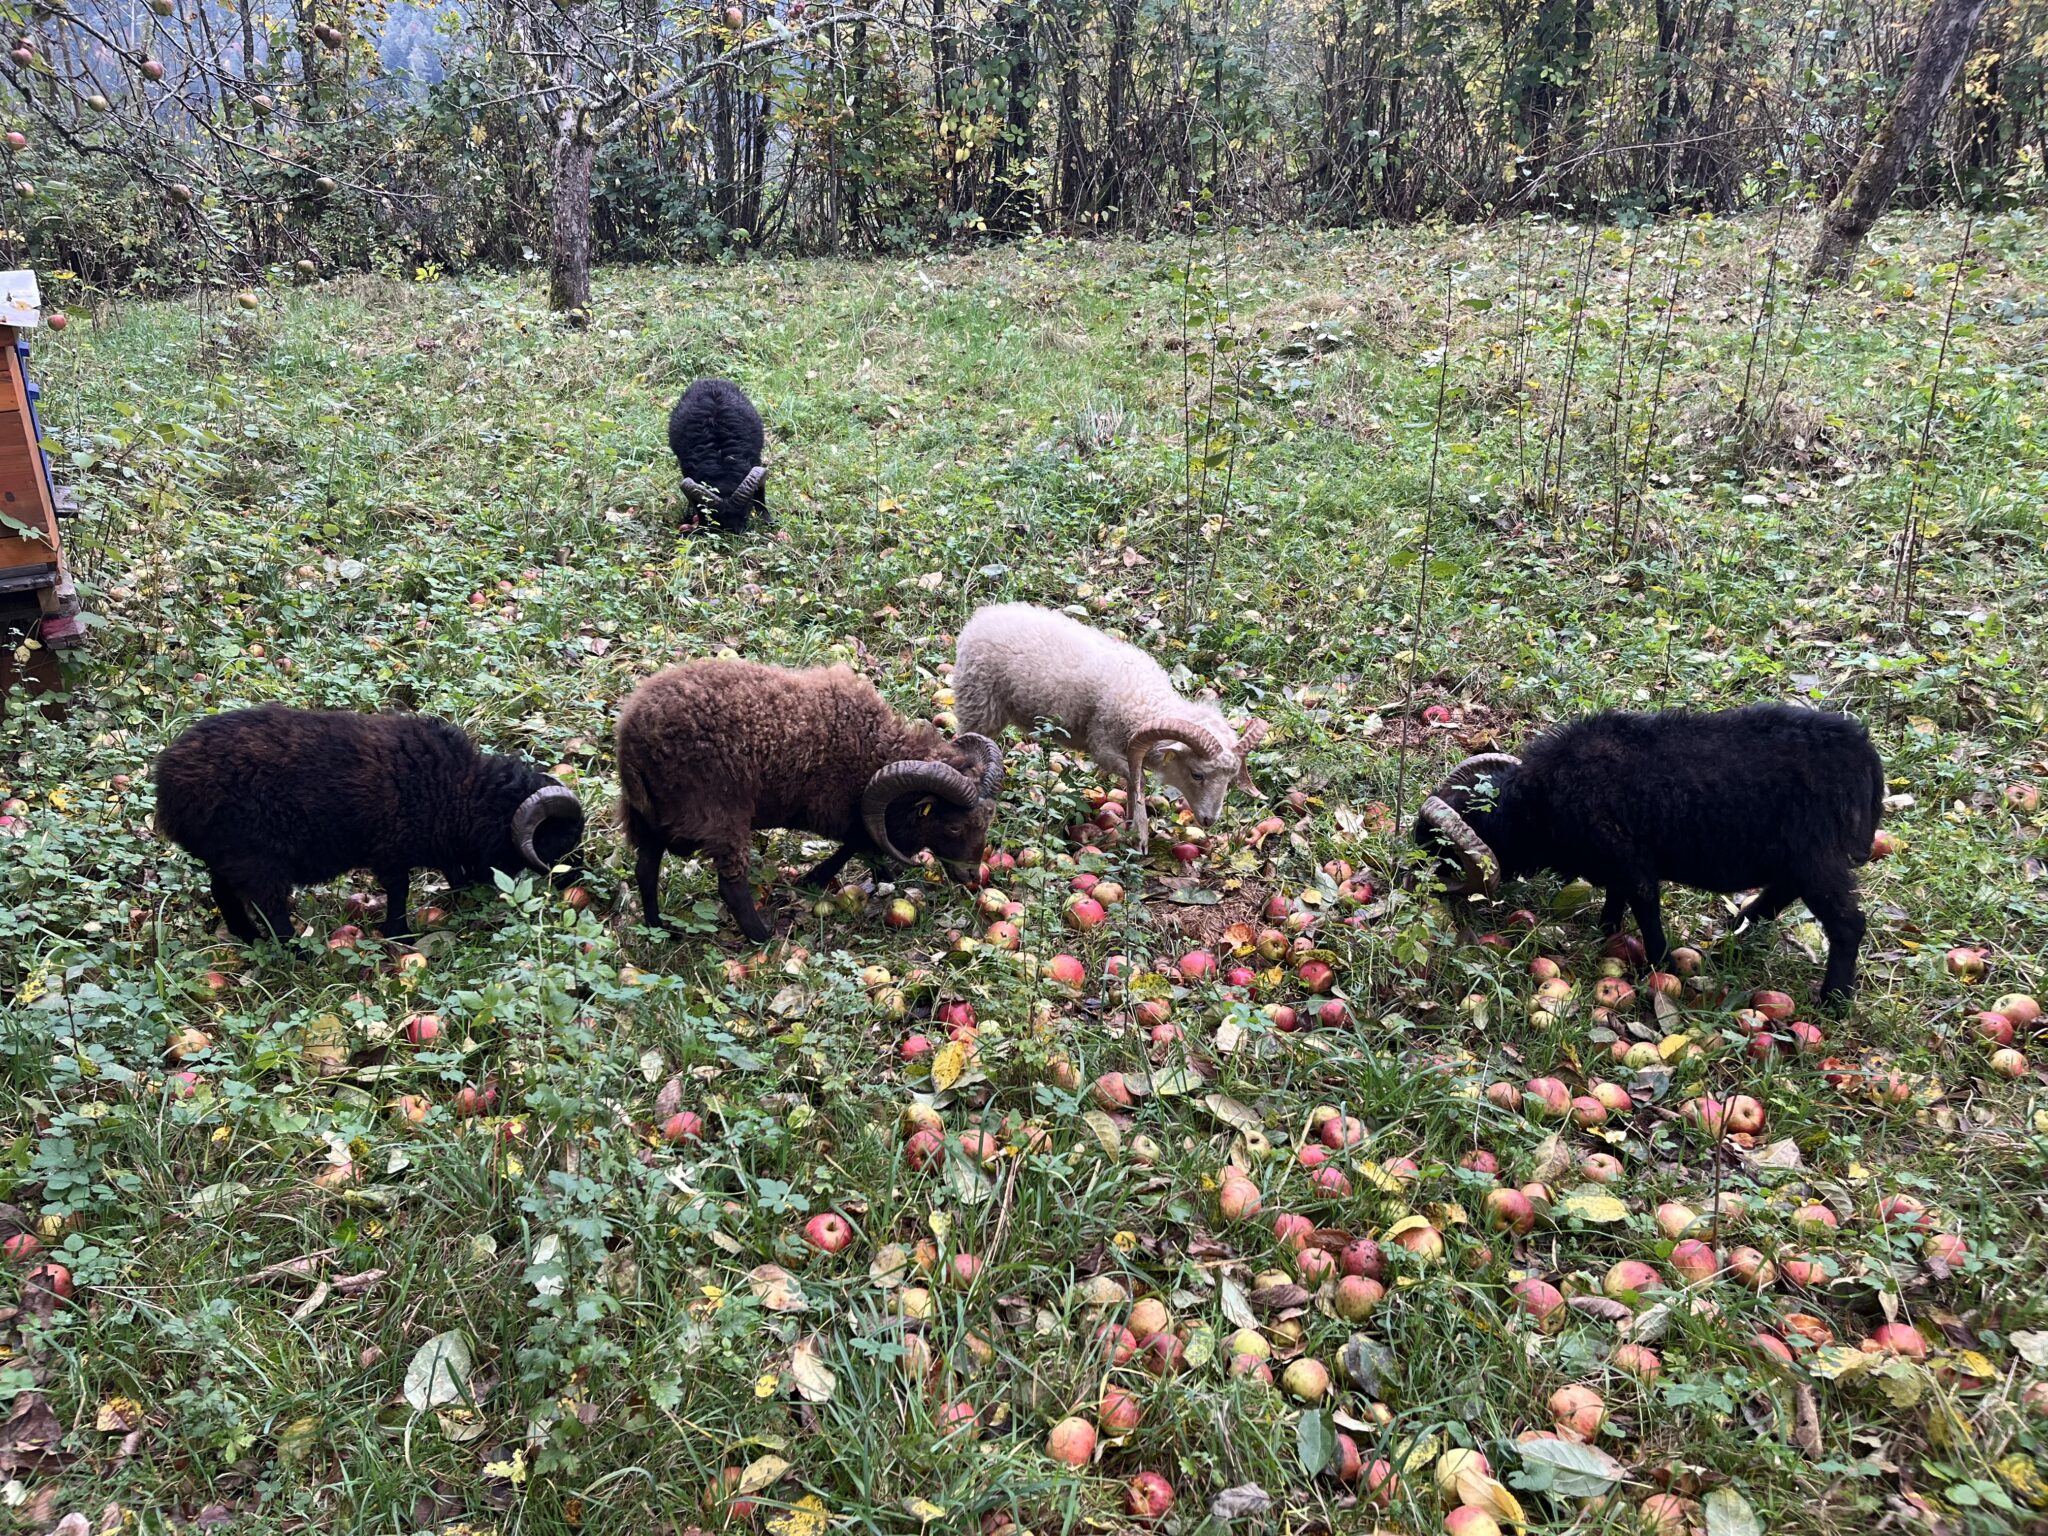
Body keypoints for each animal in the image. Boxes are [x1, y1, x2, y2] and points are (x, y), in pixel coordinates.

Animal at [154, 705, 585, 944]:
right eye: (557, 840)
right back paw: (297, 954)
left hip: (226, 857)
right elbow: (399, 890)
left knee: (223, 893)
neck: (458, 789)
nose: (576, 882)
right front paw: (400, 933)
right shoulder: (391, 852)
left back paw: (247, 939)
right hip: (256, 858)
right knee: (271, 910)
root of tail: (168, 783)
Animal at [616, 659, 1003, 943]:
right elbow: (857, 842)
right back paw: (763, 938)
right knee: (730, 885)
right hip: (719, 815)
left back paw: (658, 929)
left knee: (645, 869)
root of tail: (632, 733)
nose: (972, 877)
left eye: (986, 820)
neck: (877, 750)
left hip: (647, 814)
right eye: (953, 827)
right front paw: (818, 878)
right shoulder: (841, 807)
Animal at [950, 602, 1267, 852]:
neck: (1148, 701)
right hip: (978, 705)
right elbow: (1136, 779)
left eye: (1230, 779)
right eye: (1197, 774)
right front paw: (1140, 833)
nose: (1209, 821)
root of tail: (982, 616)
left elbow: (1132, 782)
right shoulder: (1103, 746)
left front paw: (1130, 821)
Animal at [1412, 702, 1885, 1000]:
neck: (1538, 802)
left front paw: (1661, 969)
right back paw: (1738, 926)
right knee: (1782, 893)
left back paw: (1834, 1000)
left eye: (1444, 850)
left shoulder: (1633, 863)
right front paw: (1606, 933)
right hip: (1798, 859)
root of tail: (1862, 751)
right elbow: (1615, 901)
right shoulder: (1615, 867)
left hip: (1816, 857)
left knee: (1847, 924)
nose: (1427, 888)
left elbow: (1647, 915)